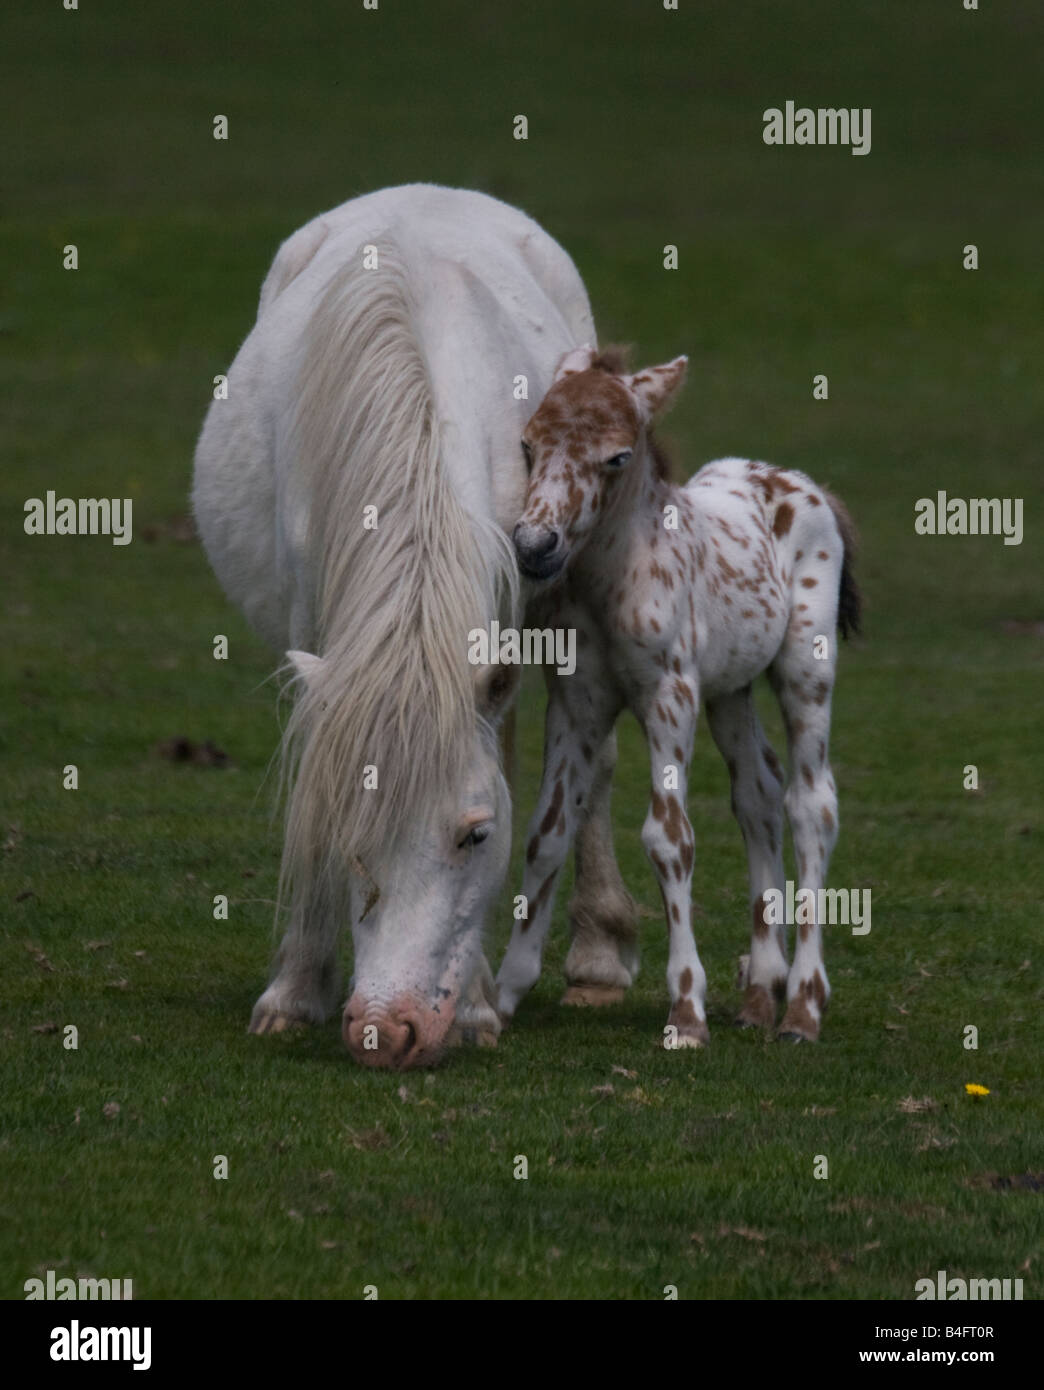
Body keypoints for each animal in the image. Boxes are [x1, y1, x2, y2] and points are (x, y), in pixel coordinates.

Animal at [192, 186, 639, 1068]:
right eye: (350, 836)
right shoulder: (320, 634)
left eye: (475, 836)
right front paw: (295, 988)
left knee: (593, 763)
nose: (386, 1032)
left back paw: (599, 957)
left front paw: (475, 1007)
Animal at [495, 345, 861, 1045]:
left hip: (805, 667)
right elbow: (548, 829)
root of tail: (810, 487)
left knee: (813, 804)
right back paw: (760, 994)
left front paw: (687, 1011)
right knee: (759, 792)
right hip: (731, 689)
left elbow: (670, 837)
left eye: (617, 456)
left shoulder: (671, 694)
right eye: (528, 445)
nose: (534, 546)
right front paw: (499, 997)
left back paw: (803, 1006)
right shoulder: (576, 702)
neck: (609, 583)